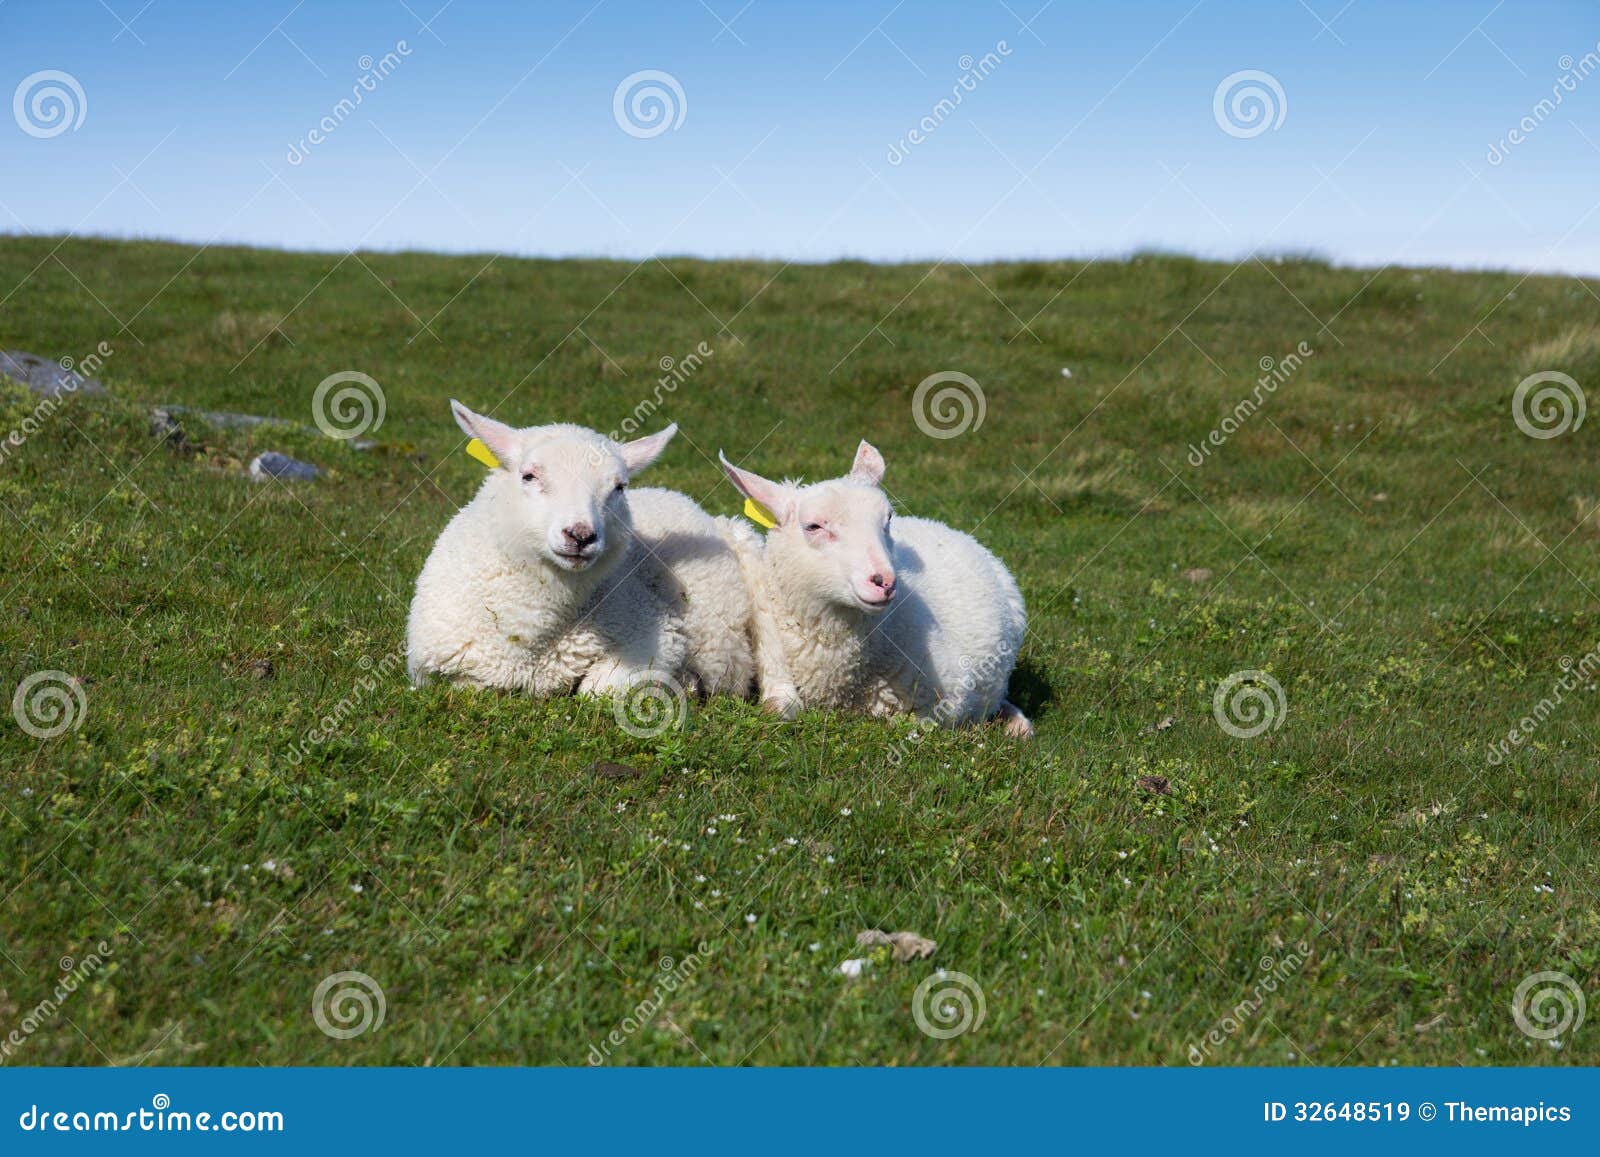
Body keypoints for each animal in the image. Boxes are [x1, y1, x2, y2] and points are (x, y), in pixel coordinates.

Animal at [407, 401, 754, 703]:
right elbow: (472, 685)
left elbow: (598, 690)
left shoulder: (656, 635)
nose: (581, 535)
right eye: (528, 475)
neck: (534, 641)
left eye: (619, 487)